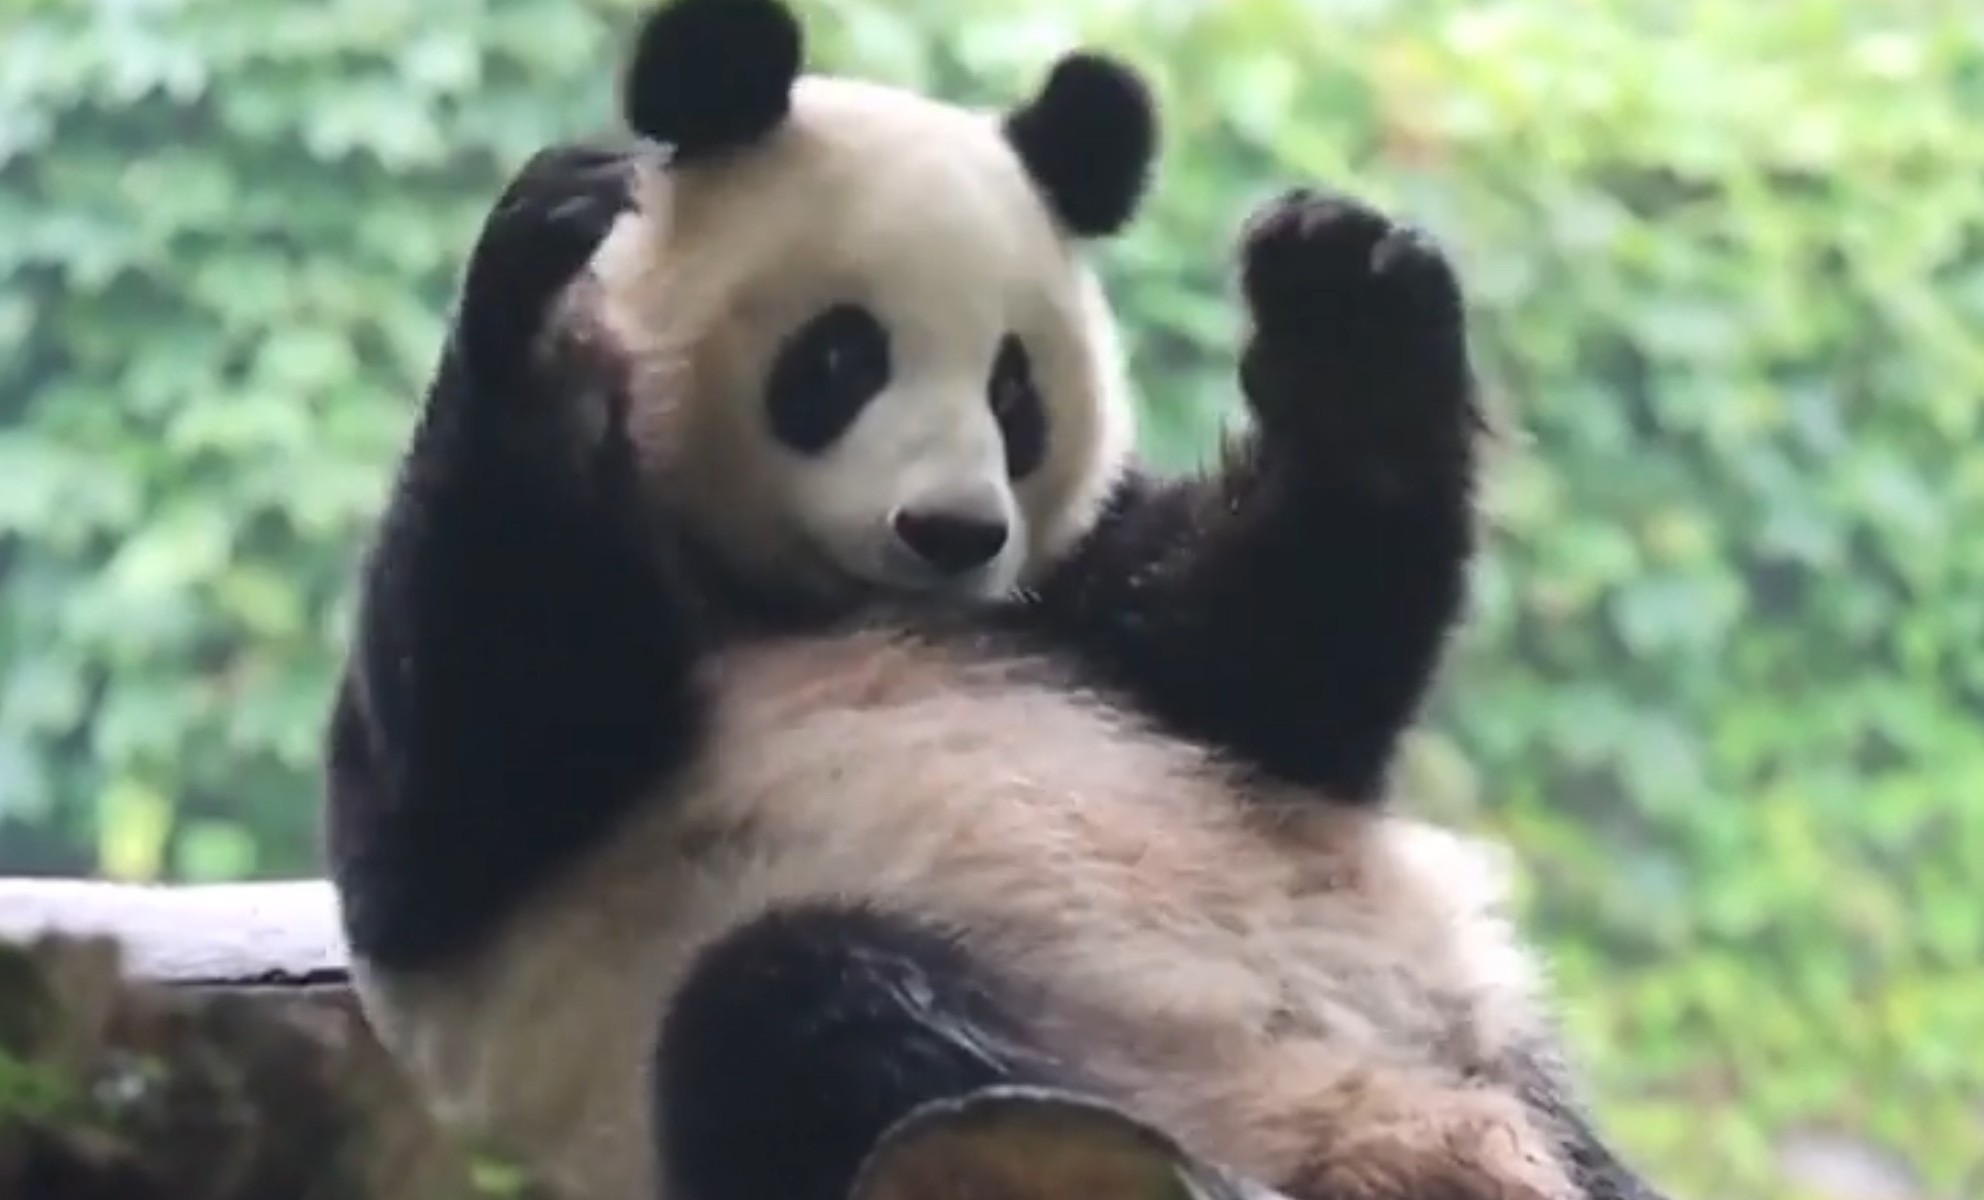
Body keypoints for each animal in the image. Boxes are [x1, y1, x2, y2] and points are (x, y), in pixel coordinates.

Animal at [322, 2, 1669, 1200]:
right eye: (840, 357)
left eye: (1012, 390)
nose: (953, 531)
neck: (817, 601)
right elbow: (451, 800)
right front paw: (557, 311)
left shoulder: (1070, 605)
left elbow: (1281, 672)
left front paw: (1346, 317)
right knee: (797, 1016)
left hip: (1462, 1027)